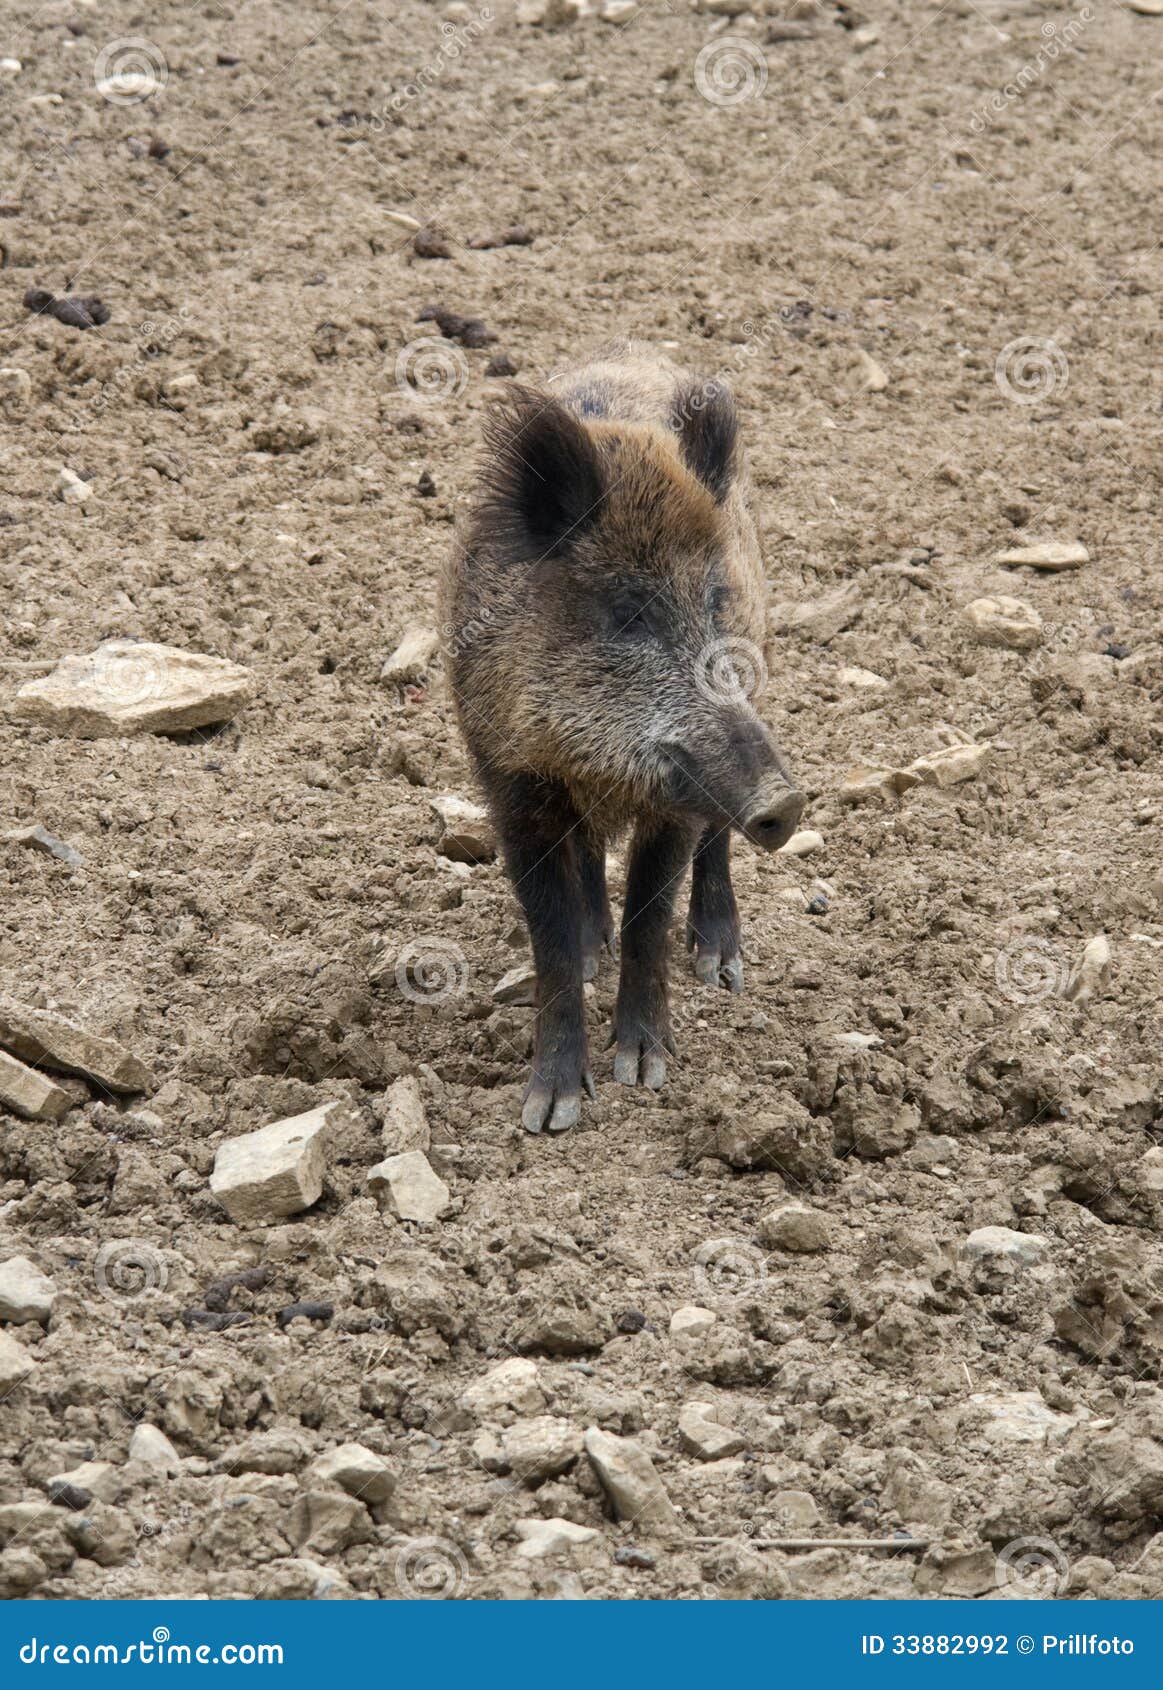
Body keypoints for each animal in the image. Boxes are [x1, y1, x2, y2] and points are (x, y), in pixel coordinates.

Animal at [440, 341, 803, 1133]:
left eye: (714, 599)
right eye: (630, 612)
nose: (786, 801)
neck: (600, 766)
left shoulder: (672, 801)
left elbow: (649, 914)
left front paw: (644, 1071)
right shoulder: (511, 783)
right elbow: (547, 935)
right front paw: (550, 1113)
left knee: (713, 843)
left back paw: (720, 967)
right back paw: (591, 947)